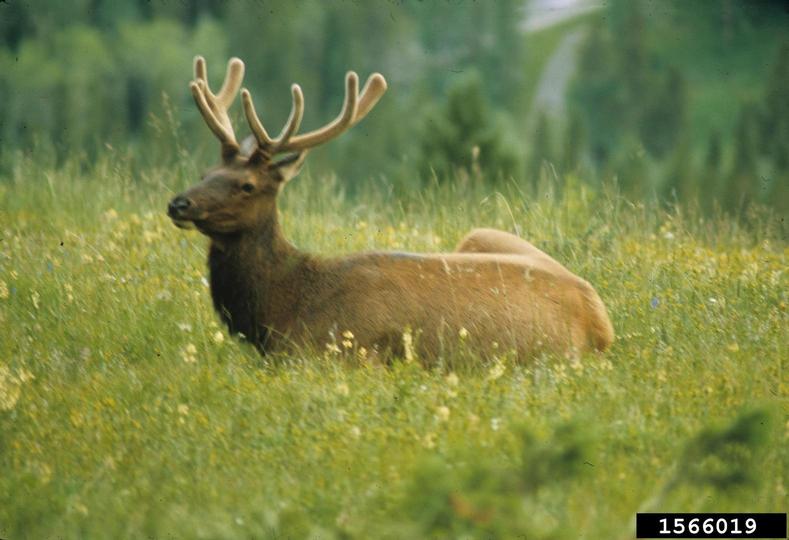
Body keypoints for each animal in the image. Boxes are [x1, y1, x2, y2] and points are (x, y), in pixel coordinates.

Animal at [167, 56, 614, 362]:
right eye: (207, 171)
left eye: (247, 185)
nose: (179, 203)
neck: (282, 308)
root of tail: (601, 322)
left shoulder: (340, 354)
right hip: (481, 234)